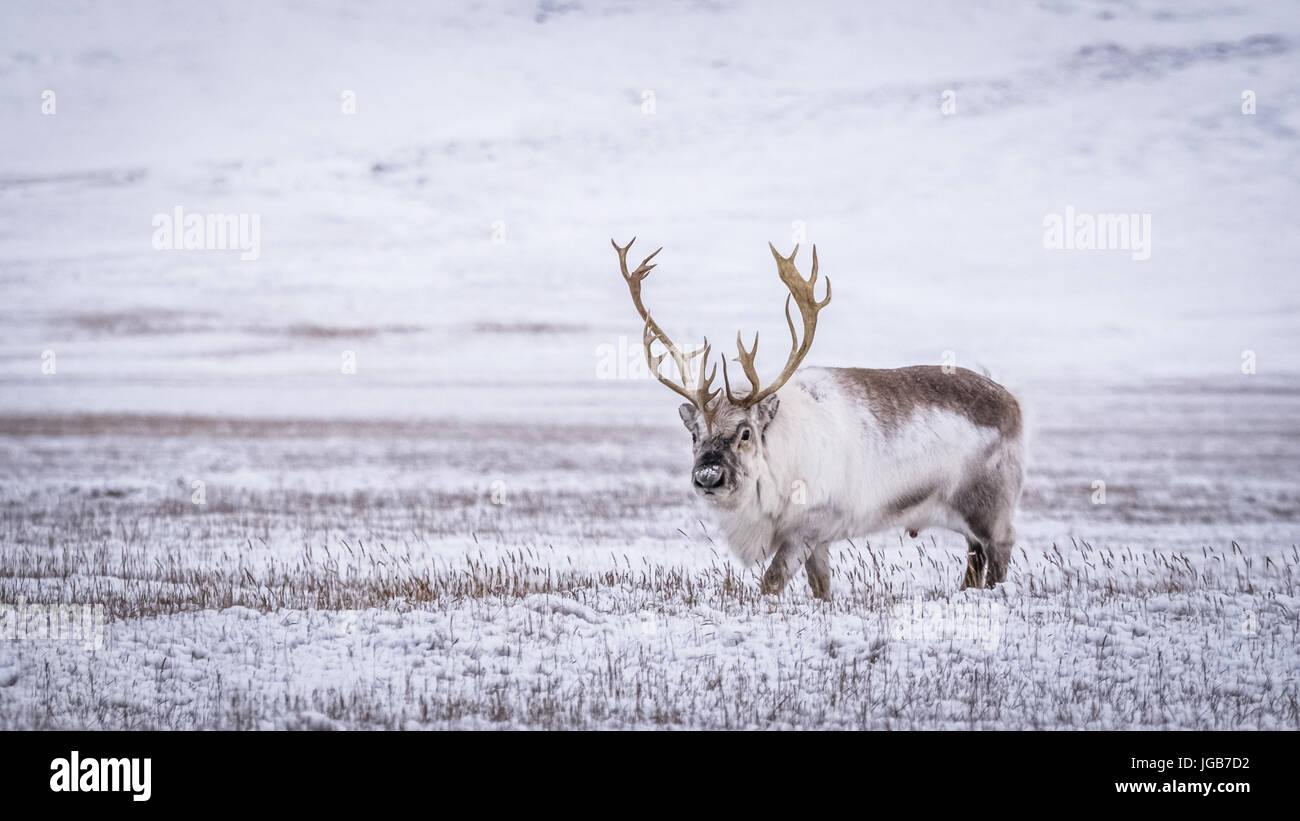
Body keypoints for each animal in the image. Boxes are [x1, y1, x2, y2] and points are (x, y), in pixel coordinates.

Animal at [612, 238, 1024, 600]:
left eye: (745, 433)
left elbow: (771, 582)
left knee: (1000, 554)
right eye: (694, 434)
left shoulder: (806, 529)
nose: (708, 477)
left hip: (989, 510)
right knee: (974, 564)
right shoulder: (819, 541)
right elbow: (821, 587)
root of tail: (1013, 405)